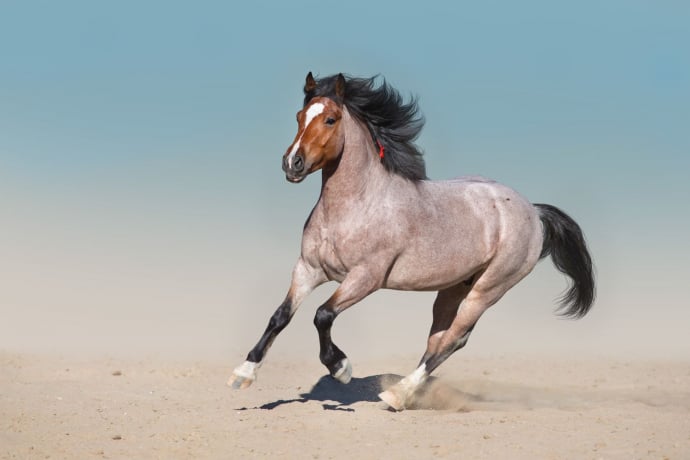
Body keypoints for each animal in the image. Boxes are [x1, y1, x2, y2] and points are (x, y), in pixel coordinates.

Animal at [228, 72, 595, 411]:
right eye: (299, 116)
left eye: (330, 119)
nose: (293, 163)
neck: (356, 205)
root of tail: (532, 210)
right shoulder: (308, 269)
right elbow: (280, 316)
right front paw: (243, 374)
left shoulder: (365, 277)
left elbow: (323, 315)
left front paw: (341, 368)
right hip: (453, 288)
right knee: (438, 341)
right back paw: (409, 393)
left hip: (488, 289)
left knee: (454, 340)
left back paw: (396, 394)